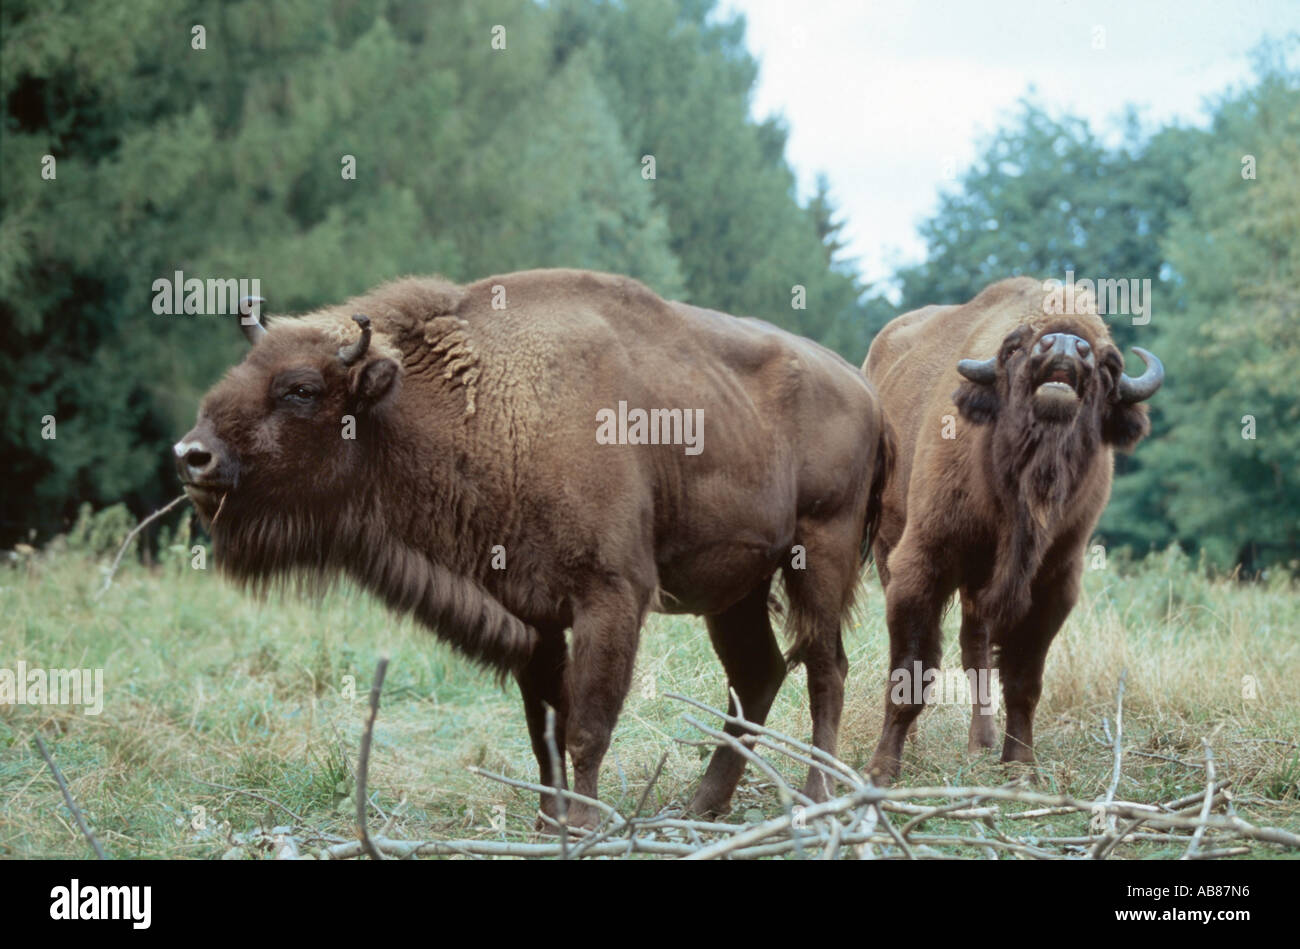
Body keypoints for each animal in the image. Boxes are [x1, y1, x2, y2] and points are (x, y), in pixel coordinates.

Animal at [174, 269, 891, 827]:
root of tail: (862, 388)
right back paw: (702, 805)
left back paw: (816, 796)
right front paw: (550, 823)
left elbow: (586, 725)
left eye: (301, 388)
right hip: (736, 587)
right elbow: (543, 722)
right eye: (243, 370)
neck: (483, 402)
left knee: (825, 667)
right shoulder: (529, 610)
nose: (192, 454)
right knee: (758, 672)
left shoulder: (610, 596)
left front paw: (584, 824)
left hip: (819, 553)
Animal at [861, 277, 1163, 781]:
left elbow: (1023, 680)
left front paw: (1020, 765)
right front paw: (883, 768)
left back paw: (981, 743)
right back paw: (923, 744)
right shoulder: (920, 565)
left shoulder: (1051, 587)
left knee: (976, 651)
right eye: (1016, 346)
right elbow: (910, 672)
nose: (1065, 346)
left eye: (1107, 362)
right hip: (892, 548)